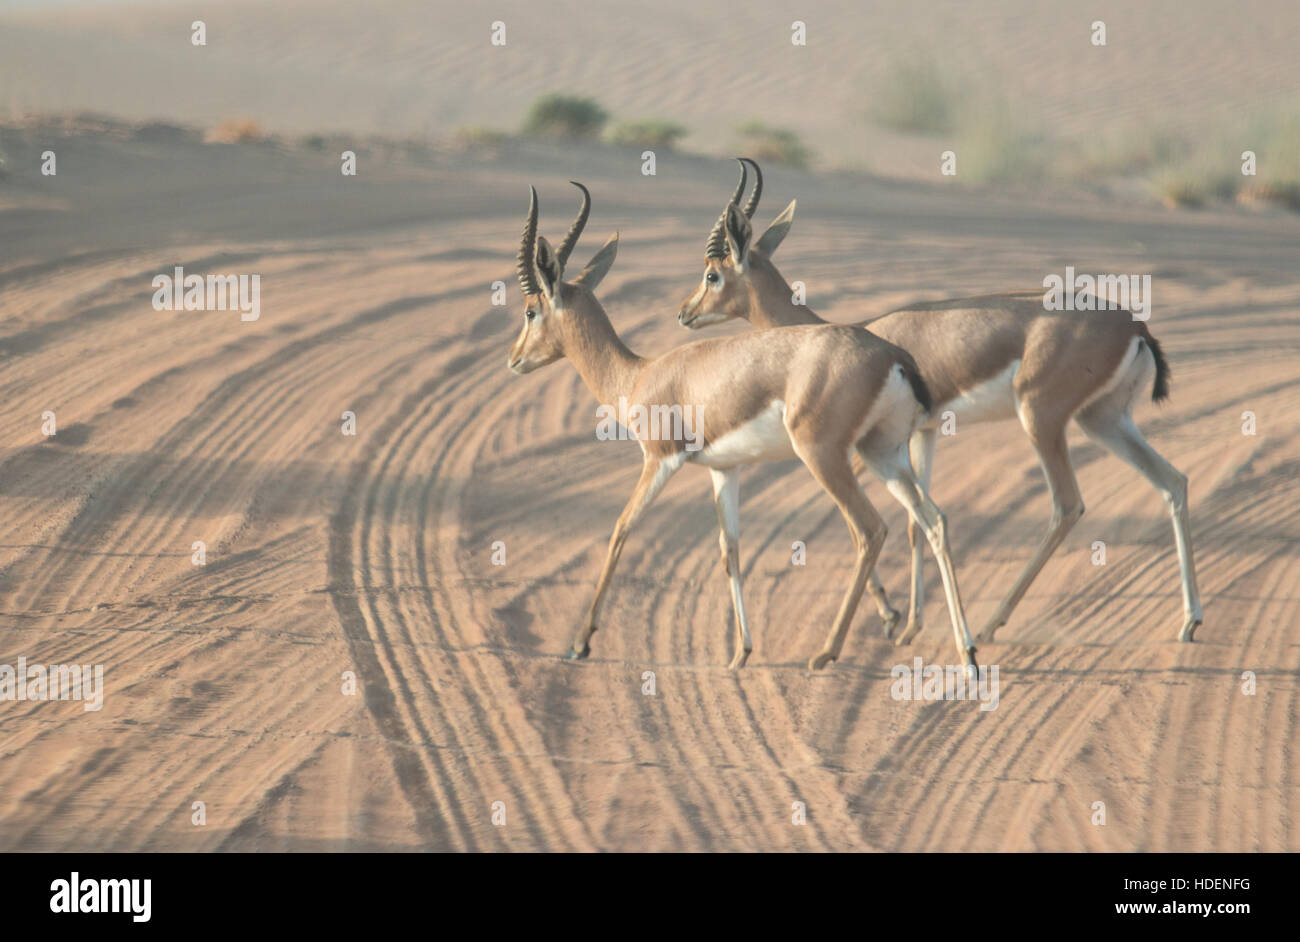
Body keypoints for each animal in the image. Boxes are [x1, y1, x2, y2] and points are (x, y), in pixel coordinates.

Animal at [507, 182, 977, 671]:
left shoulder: (660, 460)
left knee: (870, 531)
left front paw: (580, 643)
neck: (640, 376)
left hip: (824, 455)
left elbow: (621, 529)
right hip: (882, 452)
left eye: (529, 310)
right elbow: (729, 549)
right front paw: (740, 653)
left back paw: (825, 652)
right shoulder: (723, 469)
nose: (514, 359)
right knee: (933, 519)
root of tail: (893, 356)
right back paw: (967, 653)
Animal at [678, 159, 1203, 646]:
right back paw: (1189, 622)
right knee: (1172, 482)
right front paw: (910, 625)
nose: (684, 313)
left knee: (1067, 505)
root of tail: (1135, 326)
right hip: (1103, 420)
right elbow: (917, 523)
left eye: (712, 274)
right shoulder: (923, 433)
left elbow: (870, 521)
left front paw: (893, 617)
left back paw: (989, 627)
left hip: (1042, 417)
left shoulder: (861, 446)